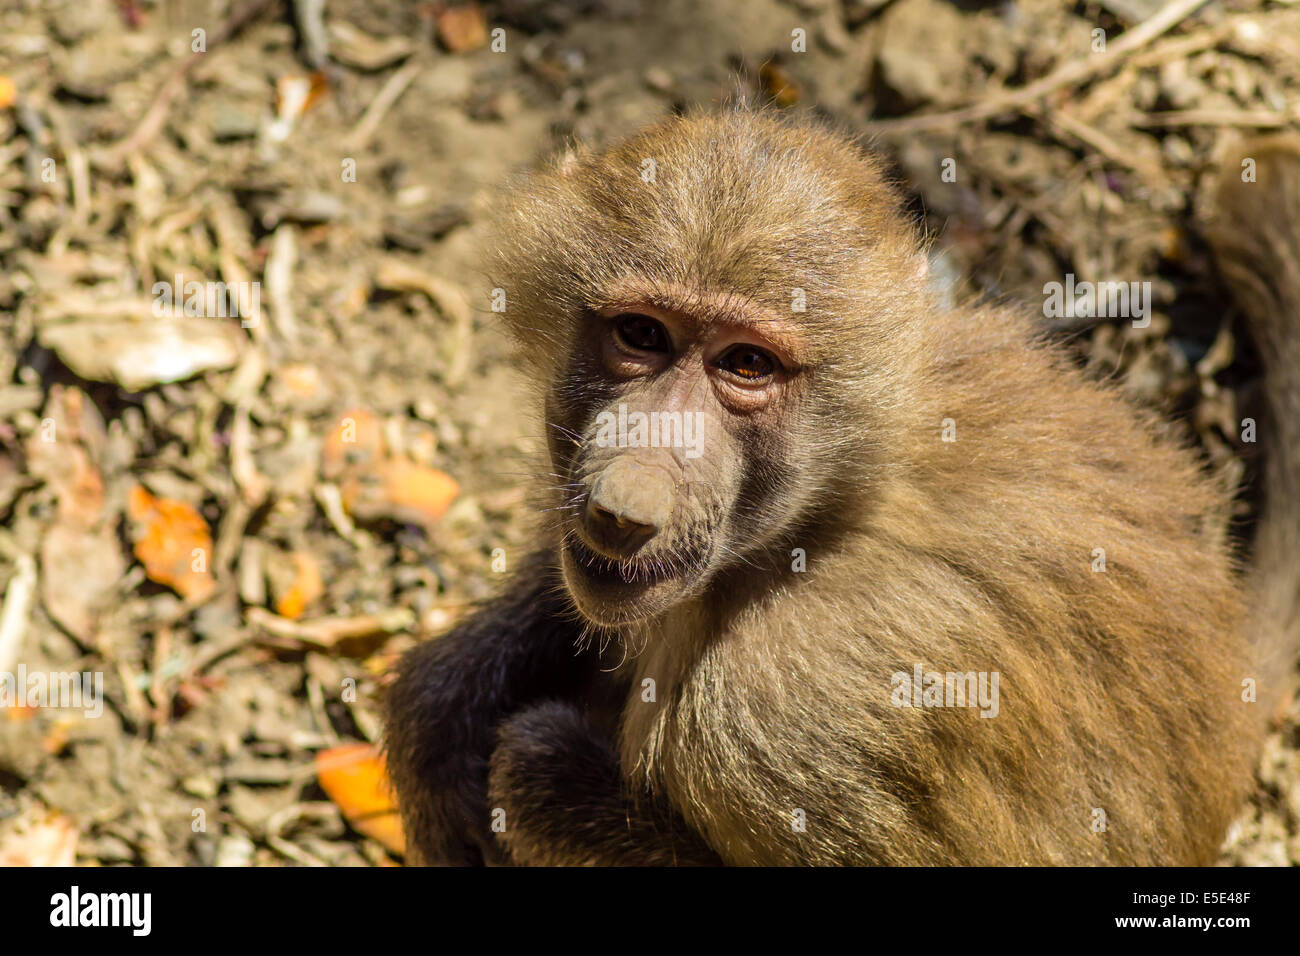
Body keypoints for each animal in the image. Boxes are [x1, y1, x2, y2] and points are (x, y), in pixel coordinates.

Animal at [382, 110, 1300, 865]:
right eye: (640, 334)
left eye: (746, 365)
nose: (624, 507)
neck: (818, 529)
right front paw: (447, 710)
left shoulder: (776, 720)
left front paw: (539, 775)